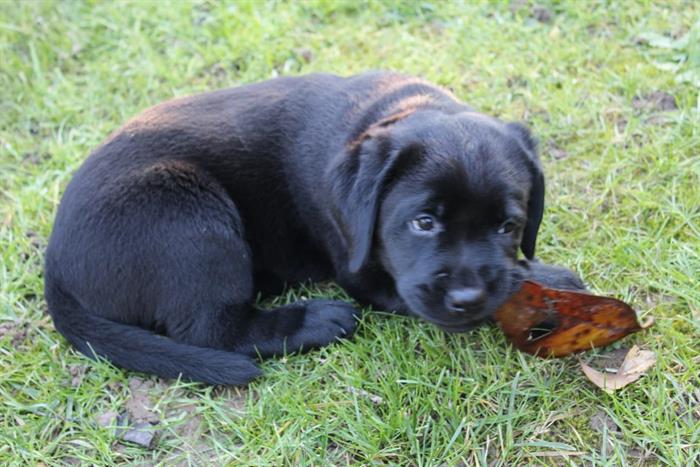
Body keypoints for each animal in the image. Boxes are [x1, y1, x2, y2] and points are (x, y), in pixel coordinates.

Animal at [45, 73, 584, 386]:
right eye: (423, 222)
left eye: (509, 225)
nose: (468, 298)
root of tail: (55, 267)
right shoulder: (366, 271)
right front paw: (549, 284)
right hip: (187, 213)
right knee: (212, 329)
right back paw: (318, 319)